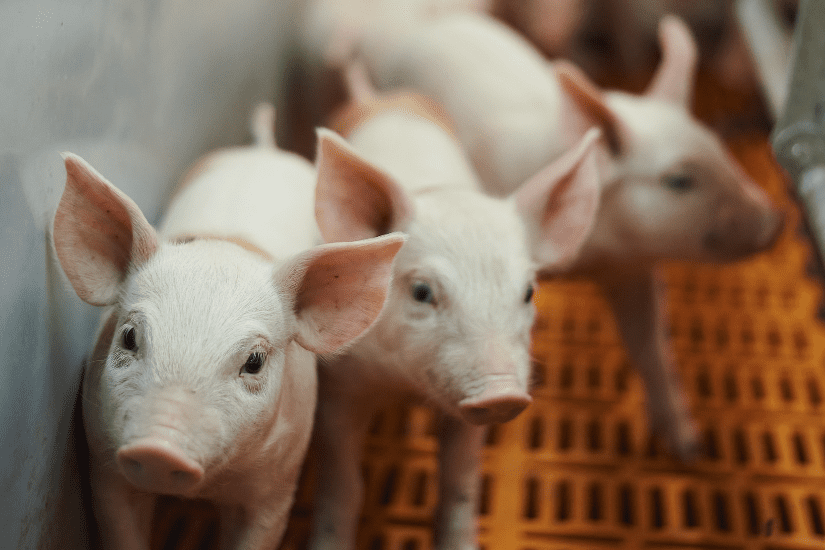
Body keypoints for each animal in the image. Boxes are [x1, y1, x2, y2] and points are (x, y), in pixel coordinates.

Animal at [51, 103, 405, 550]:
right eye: (129, 337)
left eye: (254, 362)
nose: (158, 451)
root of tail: (264, 149)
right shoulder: (105, 464)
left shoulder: (277, 486)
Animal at [306, 65, 602, 550]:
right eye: (422, 291)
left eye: (528, 292)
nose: (502, 392)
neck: (402, 383)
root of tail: (380, 97)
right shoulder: (338, 390)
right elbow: (343, 486)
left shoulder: (466, 415)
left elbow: (459, 484)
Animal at [353, 12, 784, 458]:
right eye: (679, 180)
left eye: (721, 148)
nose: (775, 222)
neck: (591, 255)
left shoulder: (630, 268)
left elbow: (649, 345)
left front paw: (690, 448)